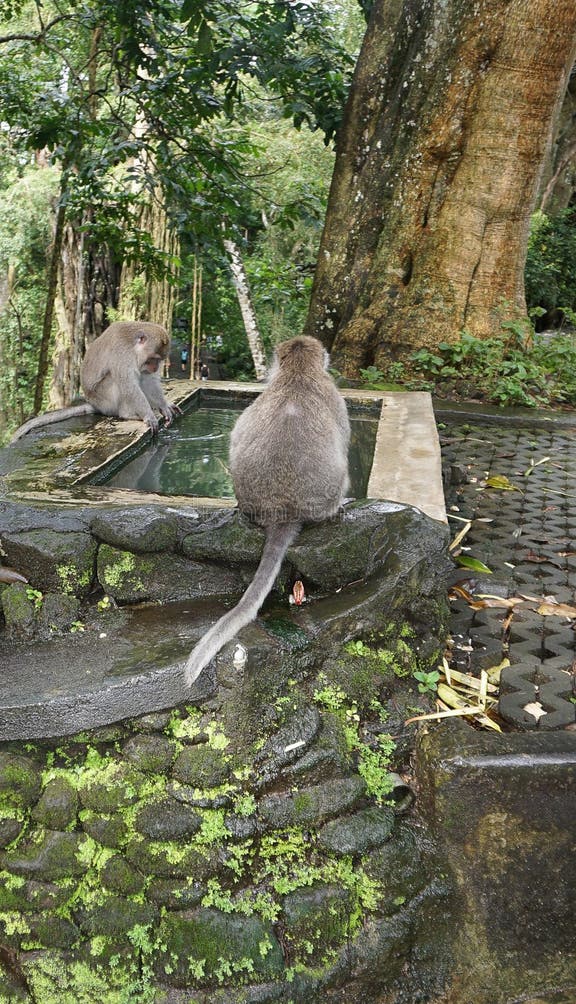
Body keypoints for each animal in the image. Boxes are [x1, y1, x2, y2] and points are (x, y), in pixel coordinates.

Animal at [10, 321, 180, 442]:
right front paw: (149, 415)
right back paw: (127, 414)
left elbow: (149, 381)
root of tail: (94, 404)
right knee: (116, 380)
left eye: (159, 360)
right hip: (105, 401)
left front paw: (164, 406)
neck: (133, 346)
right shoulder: (121, 355)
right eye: (153, 359)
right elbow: (128, 385)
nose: (155, 367)